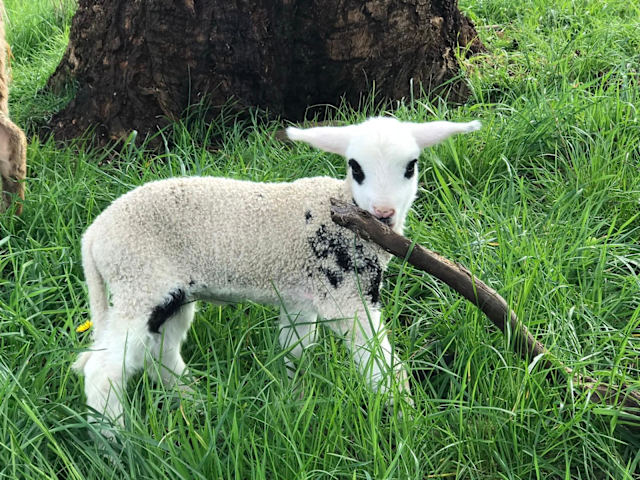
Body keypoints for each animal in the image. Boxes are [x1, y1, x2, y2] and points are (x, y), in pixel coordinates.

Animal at [73, 116, 481, 428]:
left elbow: (294, 353)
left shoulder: (301, 299)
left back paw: (196, 403)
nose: (383, 214)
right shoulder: (348, 297)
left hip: (170, 295)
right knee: (103, 371)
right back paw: (119, 441)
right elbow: (380, 364)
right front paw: (406, 420)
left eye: (411, 166)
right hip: (139, 281)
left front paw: (294, 402)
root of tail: (93, 236)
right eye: (356, 167)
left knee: (160, 353)